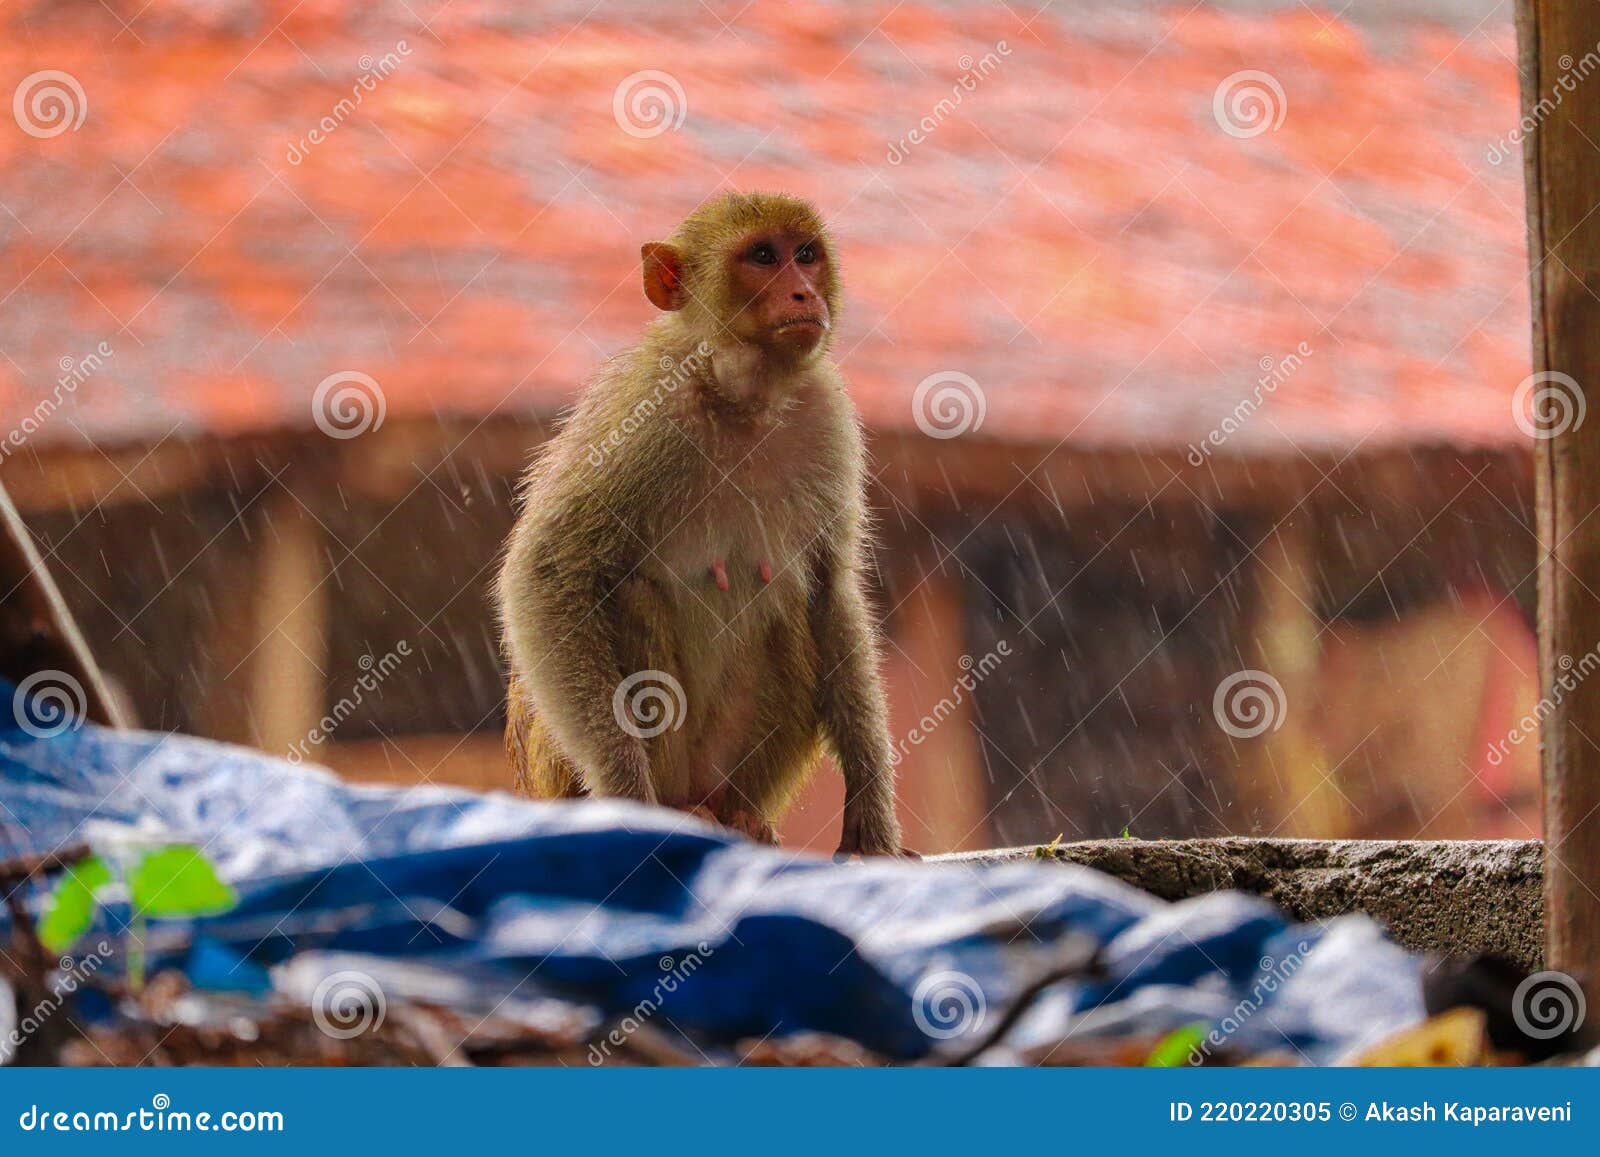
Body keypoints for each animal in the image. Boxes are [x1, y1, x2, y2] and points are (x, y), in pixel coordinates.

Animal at [496, 191, 907, 856]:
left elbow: (830, 590)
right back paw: (669, 809)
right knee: (626, 595)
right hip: (564, 775)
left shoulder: (826, 413)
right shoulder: (640, 414)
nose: (803, 293)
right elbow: (548, 570)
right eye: (762, 256)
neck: (739, 395)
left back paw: (740, 819)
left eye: (806, 255)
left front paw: (871, 816)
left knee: (793, 609)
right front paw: (627, 797)